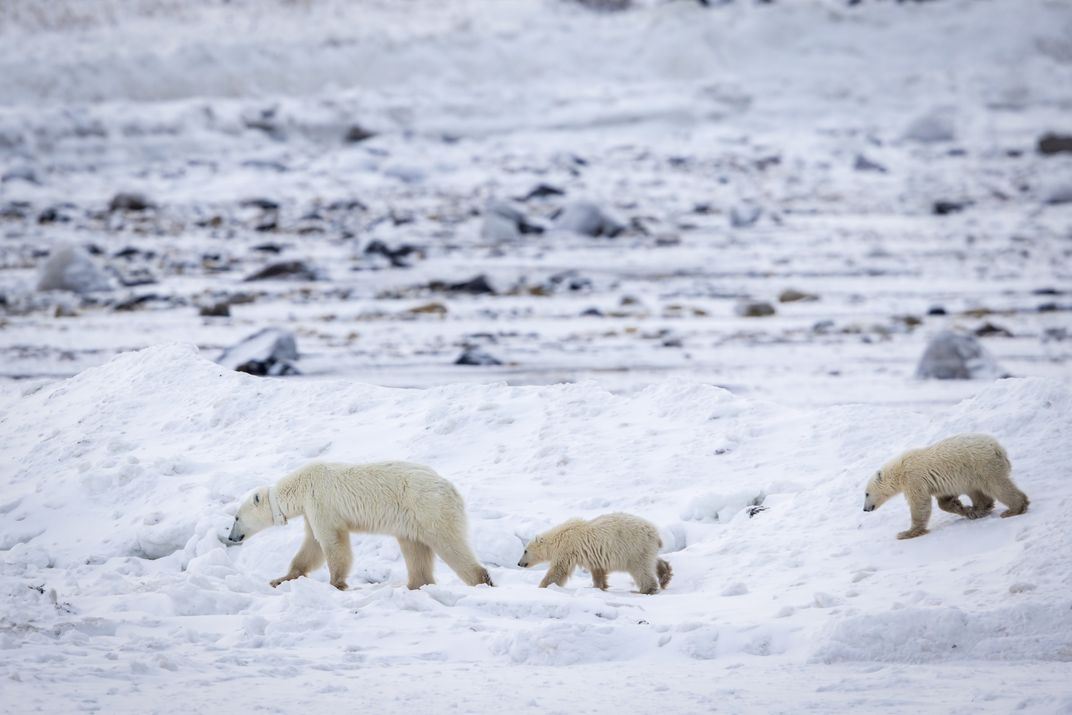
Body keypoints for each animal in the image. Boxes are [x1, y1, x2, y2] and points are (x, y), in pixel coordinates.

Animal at [227, 461, 493, 590]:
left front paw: (337, 583)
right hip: (411, 520)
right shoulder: (311, 511)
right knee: (415, 550)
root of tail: (450, 488)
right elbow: (311, 546)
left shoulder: (320, 501)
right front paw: (280, 579)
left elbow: (332, 542)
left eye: (236, 518)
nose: (231, 537)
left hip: (428, 508)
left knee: (450, 545)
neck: (300, 485)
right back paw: (414, 585)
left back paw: (481, 580)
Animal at [517, 512, 672, 594]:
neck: (558, 537)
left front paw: (542, 586)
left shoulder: (567, 549)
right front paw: (599, 587)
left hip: (634, 547)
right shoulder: (592, 555)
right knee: (652, 561)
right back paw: (665, 574)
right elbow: (598, 571)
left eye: (525, 550)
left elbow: (558, 570)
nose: (519, 563)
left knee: (641, 569)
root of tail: (655, 533)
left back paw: (647, 589)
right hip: (643, 548)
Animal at [863, 433, 1029, 540]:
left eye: (866, 493)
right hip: (972, 474)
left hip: (982, 466)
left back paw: (1014, 509)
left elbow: (920, 504)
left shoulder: (914, 479)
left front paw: (906, 533)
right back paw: (977, 510)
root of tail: (998, 448)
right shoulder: (937, 482)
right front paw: (962, 507)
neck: (900, 469)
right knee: (976, 490)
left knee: (997, 486)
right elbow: (944, 500)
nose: (865, 509)